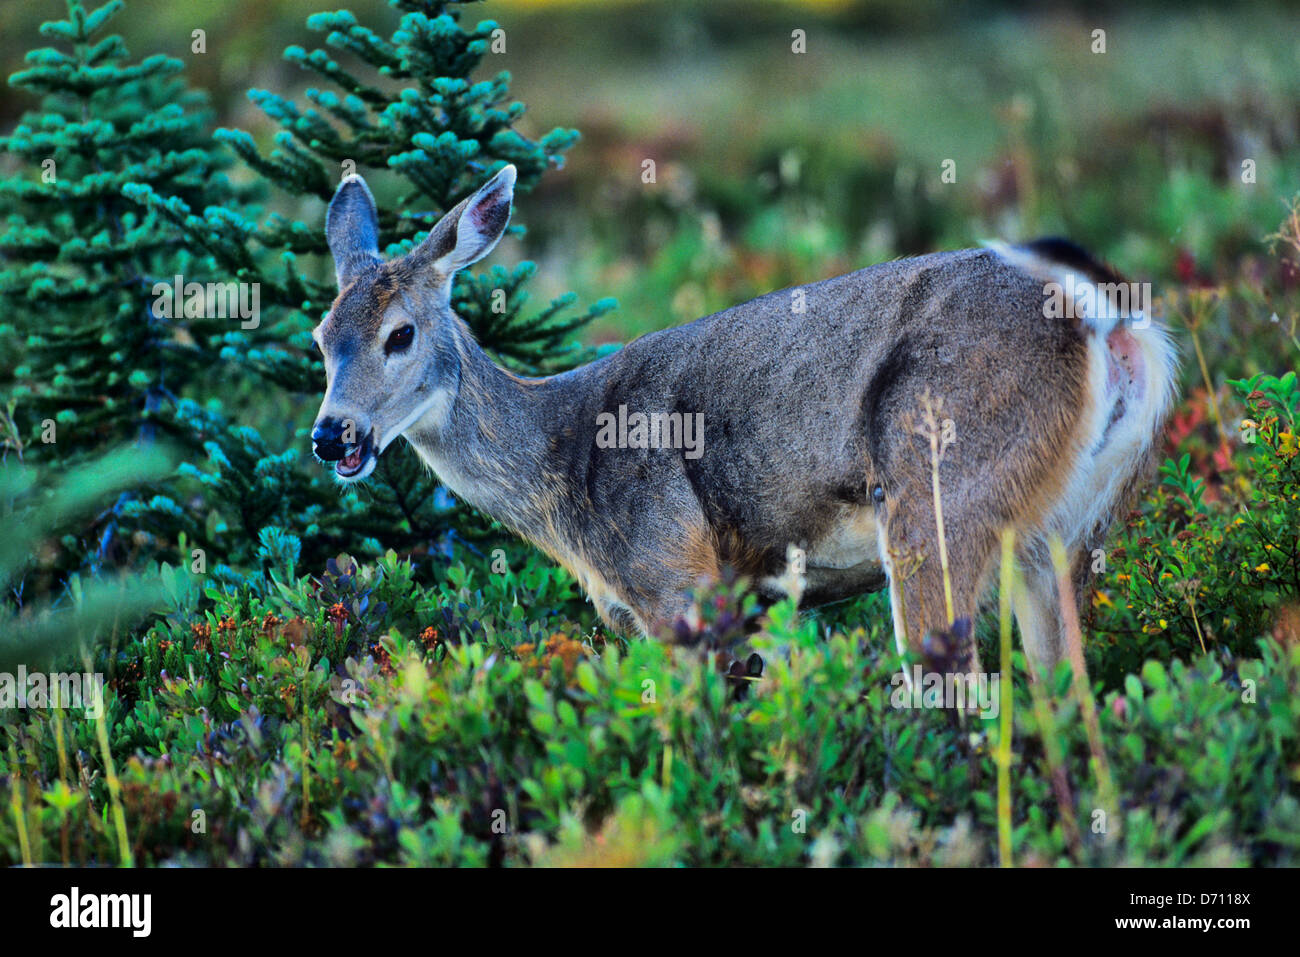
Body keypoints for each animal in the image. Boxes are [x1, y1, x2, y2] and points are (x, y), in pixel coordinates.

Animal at [310, 163, 1177, 680]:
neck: (566, 467)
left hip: (940, 493)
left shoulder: (677, 580)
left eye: (400, 334)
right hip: (1068, 526)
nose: (332, 435)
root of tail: (1111, 317)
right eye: (320, 336)